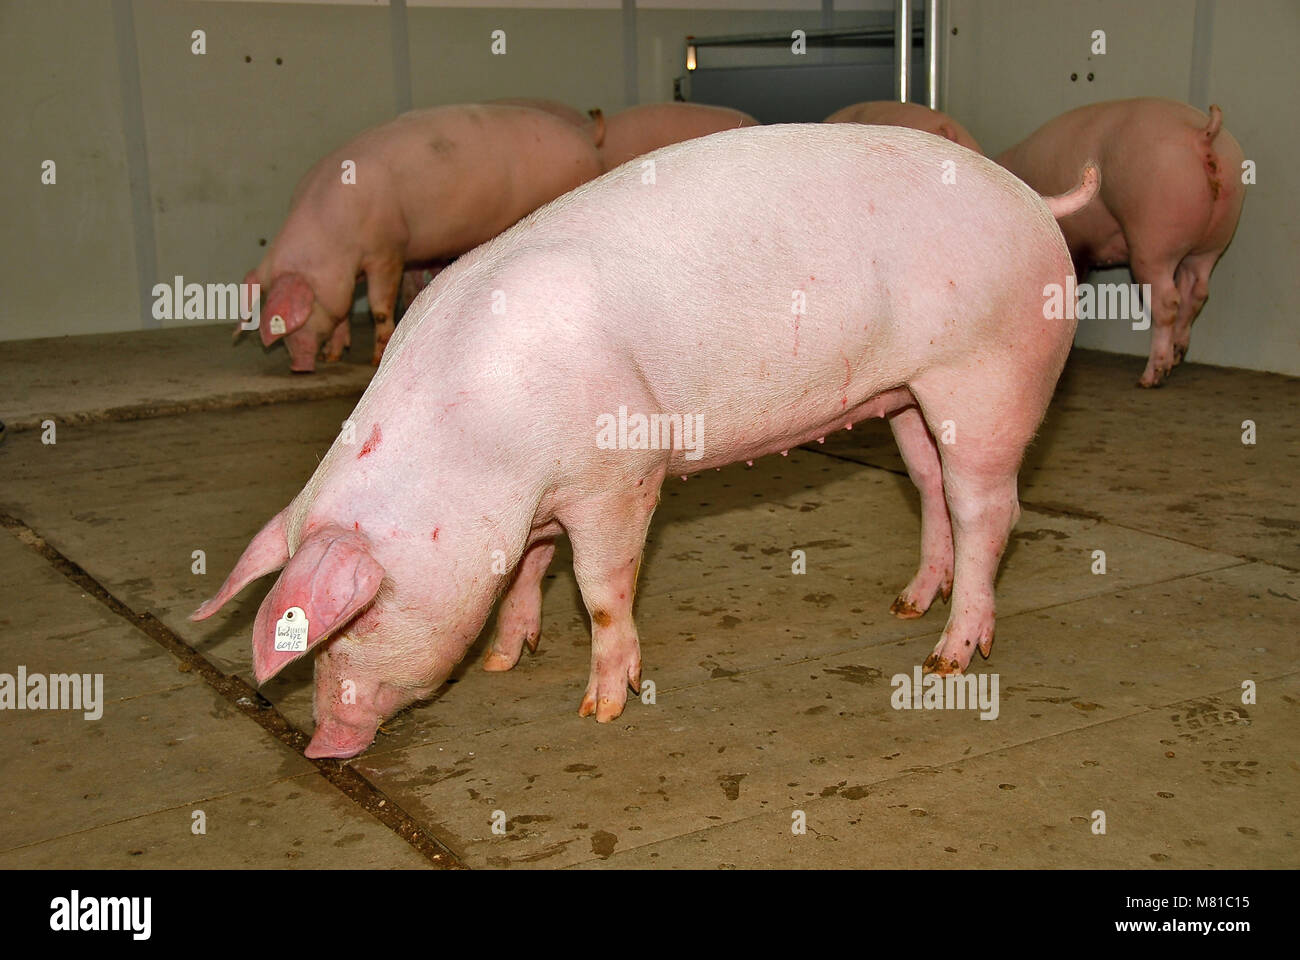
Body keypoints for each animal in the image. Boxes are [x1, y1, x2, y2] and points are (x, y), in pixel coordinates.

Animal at [243, 104, 604, 371]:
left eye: (289, 319)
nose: (298, 367)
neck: (334, 241)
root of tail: (585, 136)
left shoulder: (387, 249)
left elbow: (379, 306)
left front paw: (374, 359)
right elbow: (343, 312)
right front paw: (332, 355)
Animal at [996, 98, 1246, 386]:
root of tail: (1203, 134)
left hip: (1154, 237)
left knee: (1168, 301)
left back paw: (1150, 377)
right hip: (1213, 241)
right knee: (1196, 292)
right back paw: (1177, 356)